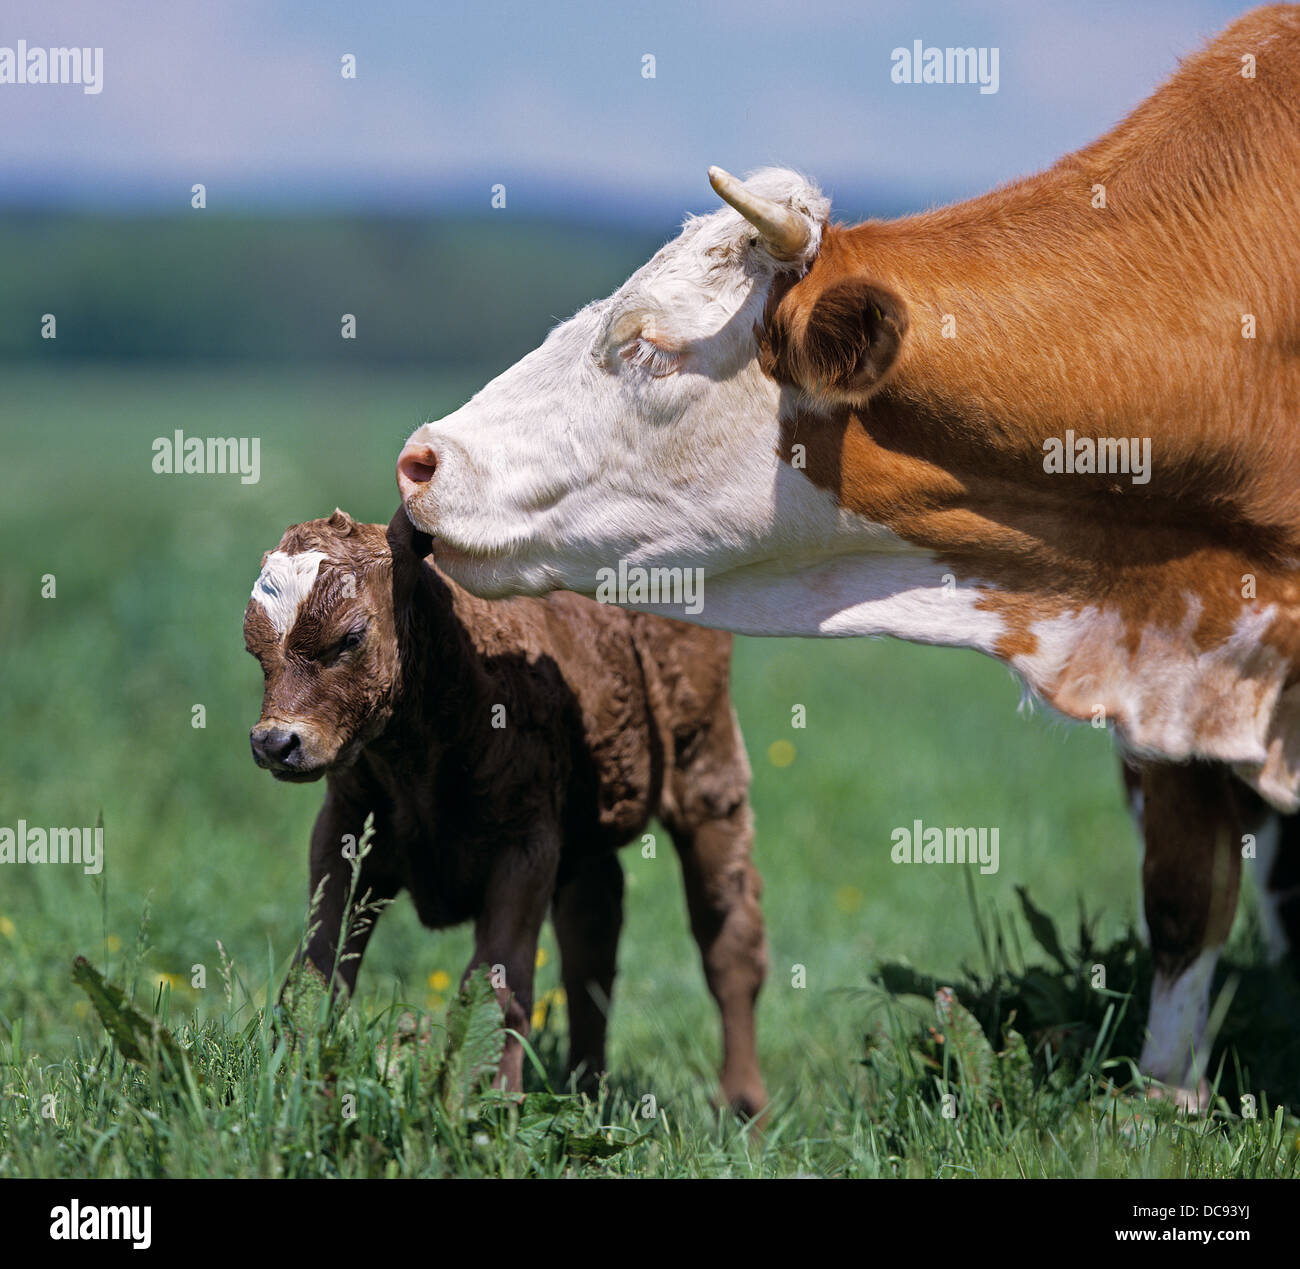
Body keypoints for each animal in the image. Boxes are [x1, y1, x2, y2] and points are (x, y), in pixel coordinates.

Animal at [244, 509, 768, 1115]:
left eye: (350, 637)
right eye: (253, 647)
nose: (275, 743)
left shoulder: (524, 847)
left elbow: (496, 981)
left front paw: (477, 1105)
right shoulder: (343, 828)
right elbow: (317, 969)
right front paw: (295, 1085)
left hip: (707, 772)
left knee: (728, 935)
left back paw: (742, 1108)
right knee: (593, 931)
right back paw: (585, 1091)